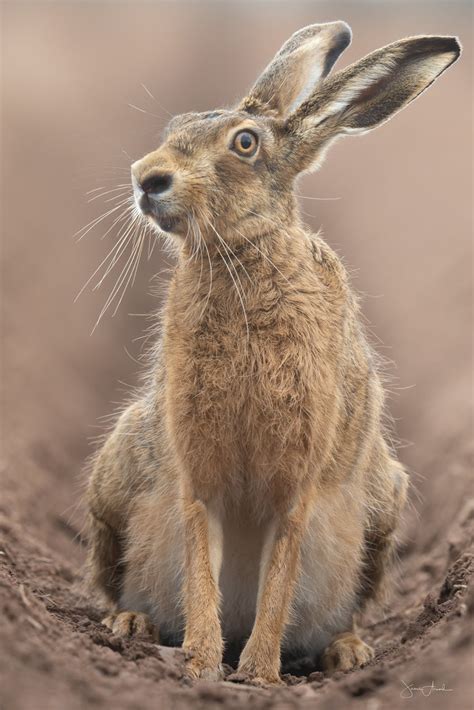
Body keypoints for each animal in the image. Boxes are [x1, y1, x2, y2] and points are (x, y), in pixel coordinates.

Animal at [85, 21, 460, 685]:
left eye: (245, 143)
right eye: (175, 125)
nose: (145, 178)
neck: (239, 255)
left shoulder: (297, 481)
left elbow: (279, 575)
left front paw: (257, 675)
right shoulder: (196, 470)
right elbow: (201, 568)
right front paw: (202, 668)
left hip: (384, 503)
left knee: (346, 608)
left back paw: (347, 653)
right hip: (116, 477)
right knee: (117, 581)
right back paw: (131, 625)